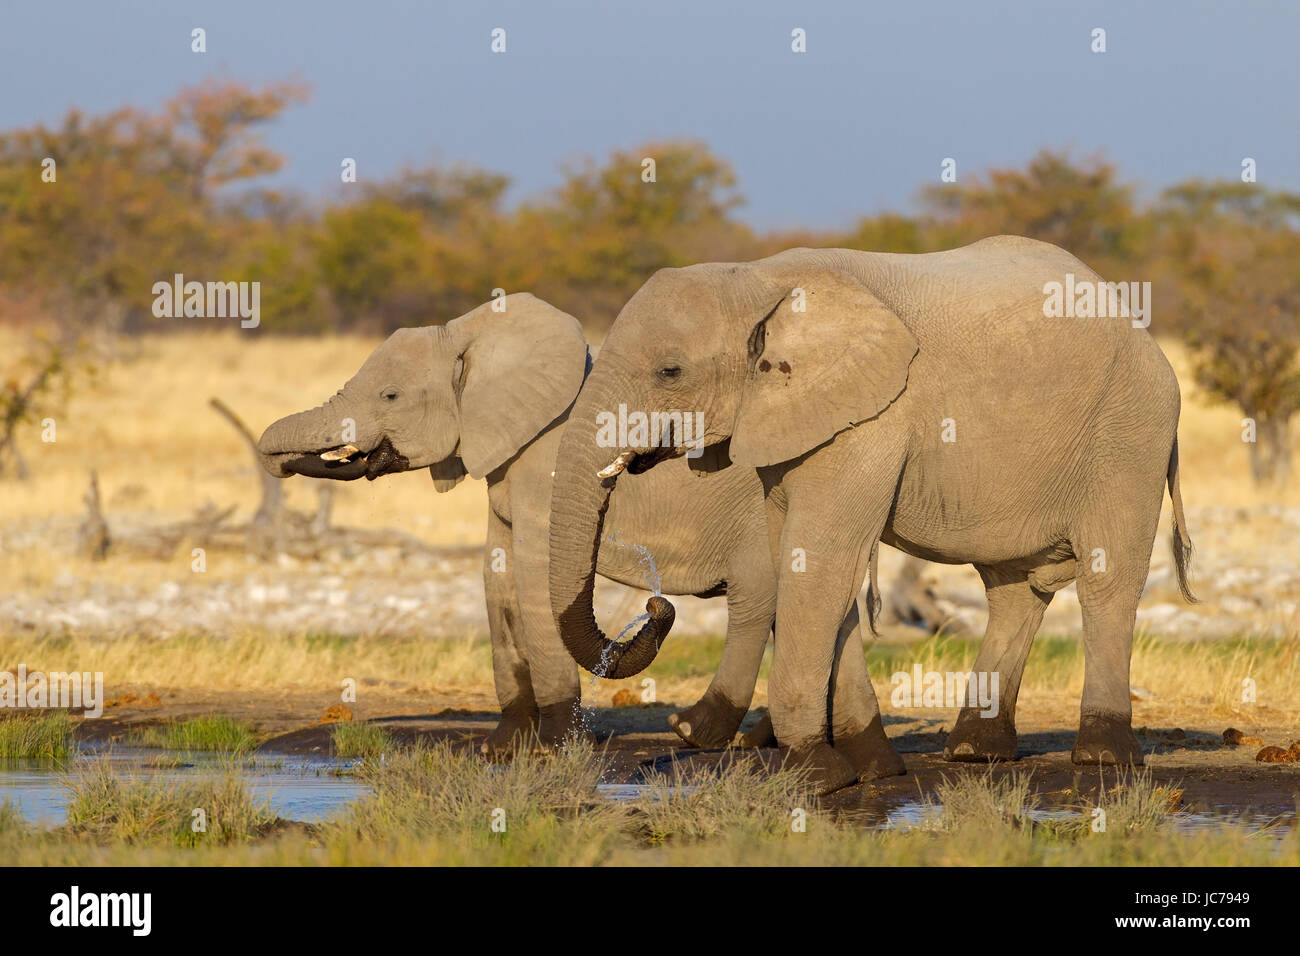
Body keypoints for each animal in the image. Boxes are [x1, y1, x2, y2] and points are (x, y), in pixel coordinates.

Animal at [256, 294, 780, 753]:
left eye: (390, 395)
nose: (656, 607)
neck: (473, 336)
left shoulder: (542, 470)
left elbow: (531, 581)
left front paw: (555, 747)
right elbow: (498, 581)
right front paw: (502, 748)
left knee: (755, 604)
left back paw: (697, 733)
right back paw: (757, 740)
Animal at [547, 236, 1195, 794]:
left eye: (671, 372)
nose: (658, 607)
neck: (757, 278)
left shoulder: (871, 418)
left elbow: (820, 562)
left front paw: (817, 777)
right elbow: (806, 563)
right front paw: (873, 768)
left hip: (1130, 431)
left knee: (1108, 578)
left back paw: (1103, 756)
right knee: (1013, 589)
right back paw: (975, 750)